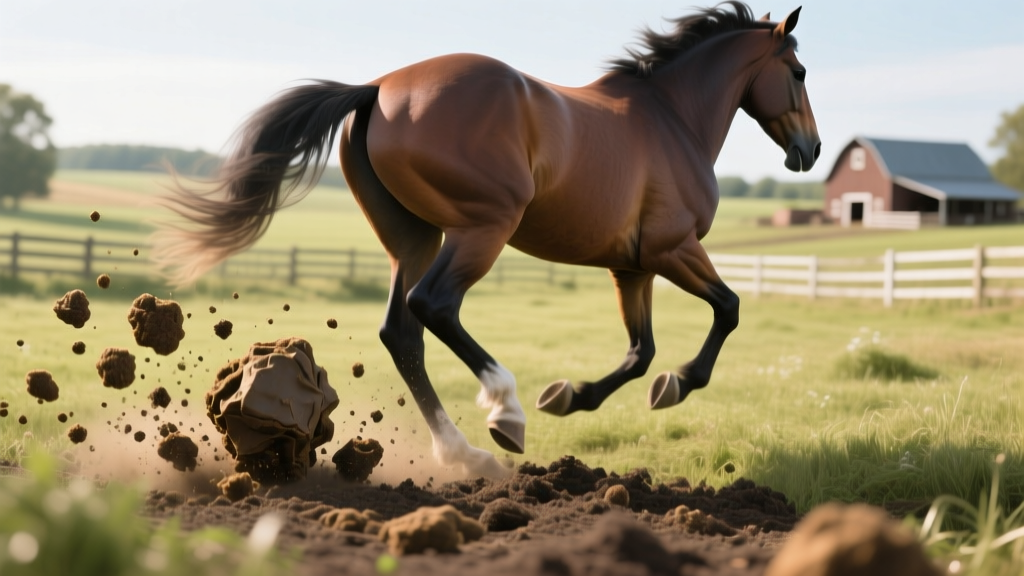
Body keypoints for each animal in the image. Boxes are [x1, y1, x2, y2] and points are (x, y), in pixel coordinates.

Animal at [155, 1, 820, 478]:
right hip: (484, 227)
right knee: (433, 307)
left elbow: (641, 351)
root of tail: (378, 87)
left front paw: (573, 396)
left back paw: (465, 454)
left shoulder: (632, 267)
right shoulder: (674, 250)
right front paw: (675, 386)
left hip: (416, 239)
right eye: (799, 71)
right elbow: (727, 310)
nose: (809, 150)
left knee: (402, 332)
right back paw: (506, 414)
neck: (672, 120)